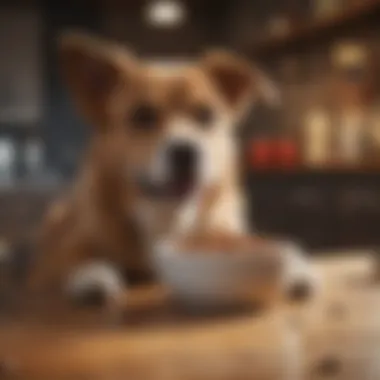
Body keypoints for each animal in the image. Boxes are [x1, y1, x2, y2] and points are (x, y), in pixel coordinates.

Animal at [28, 31, 316, 306]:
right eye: (142, 116)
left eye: (205, 114)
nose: (186, 152)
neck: (167, 212)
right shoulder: (56, 258)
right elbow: (77, 256)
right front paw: (91, 274)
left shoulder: (227, 231)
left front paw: (295, 268)